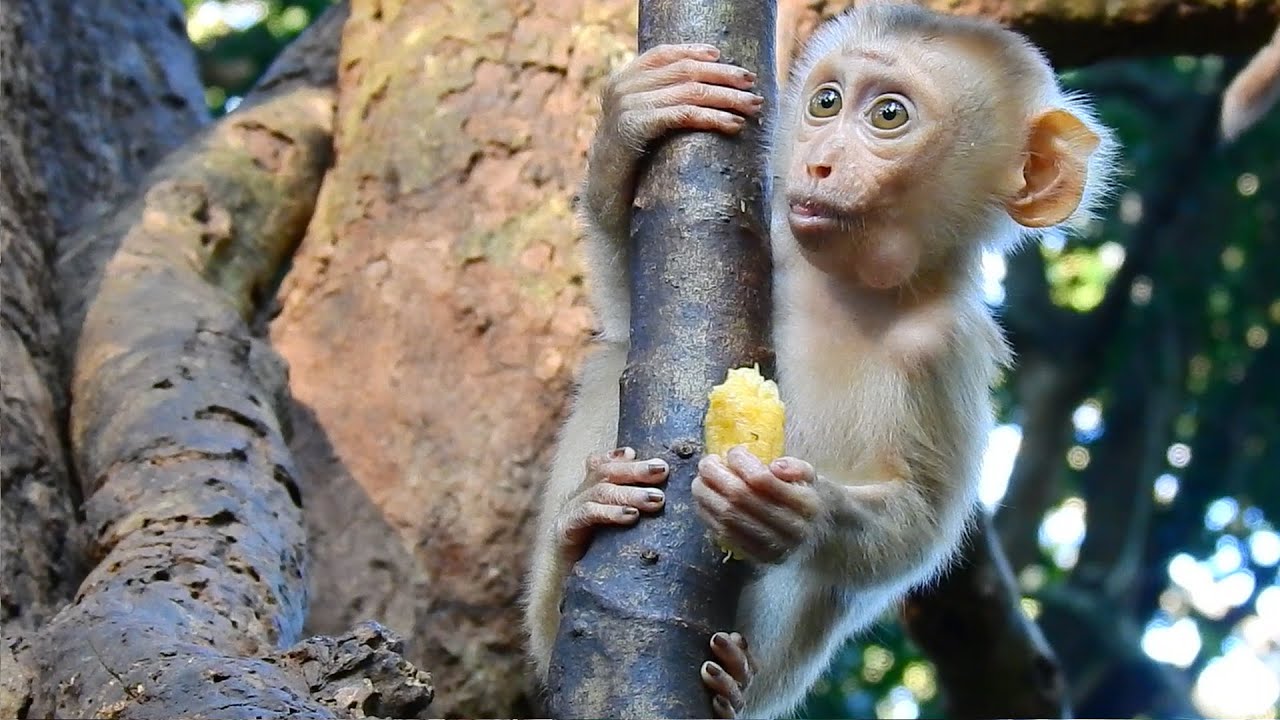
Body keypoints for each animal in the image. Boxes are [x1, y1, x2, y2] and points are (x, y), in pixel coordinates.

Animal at [524, 3, 1119, 717]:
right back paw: (575, 535)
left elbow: (922, 520)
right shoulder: (774, 243)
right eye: (826, 102)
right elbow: (622, 323)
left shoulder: (949, 347)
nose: (821, 164)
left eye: (888, 115)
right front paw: (629, 123)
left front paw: (796, 513)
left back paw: (731, 682)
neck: (849, 286)